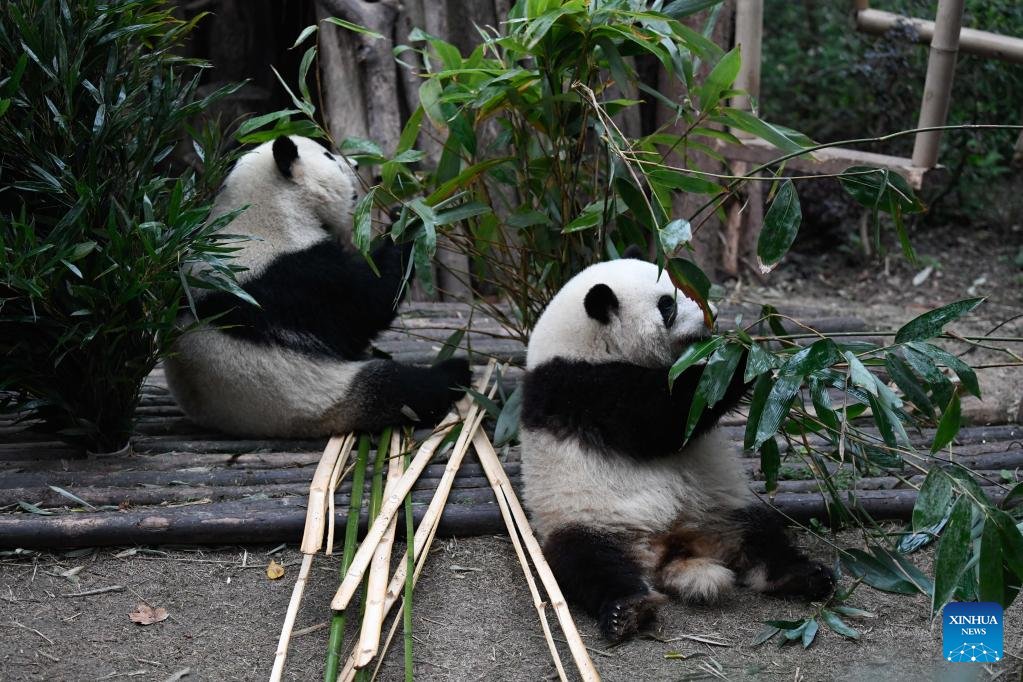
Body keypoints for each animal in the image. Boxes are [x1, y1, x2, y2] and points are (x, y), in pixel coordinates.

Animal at [164, 135, 470, 437]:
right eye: (329, 156)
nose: (356, 165)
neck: (266, 210)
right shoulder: (298, 276)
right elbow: (365, 307)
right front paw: (405, 221)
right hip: (320, 393)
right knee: (404, 388)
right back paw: (454, 372)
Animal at [519, 253, 834, 641]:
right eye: (666, 304)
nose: (713, 317)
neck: (582, 344)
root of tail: (669, 547)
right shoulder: (577, 387)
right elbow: (658, 420)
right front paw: (739, 357)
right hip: (586, 518)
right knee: (585, 562)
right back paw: (627, 609)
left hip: (723, 510)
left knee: (764, 535)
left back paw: (803, 576)